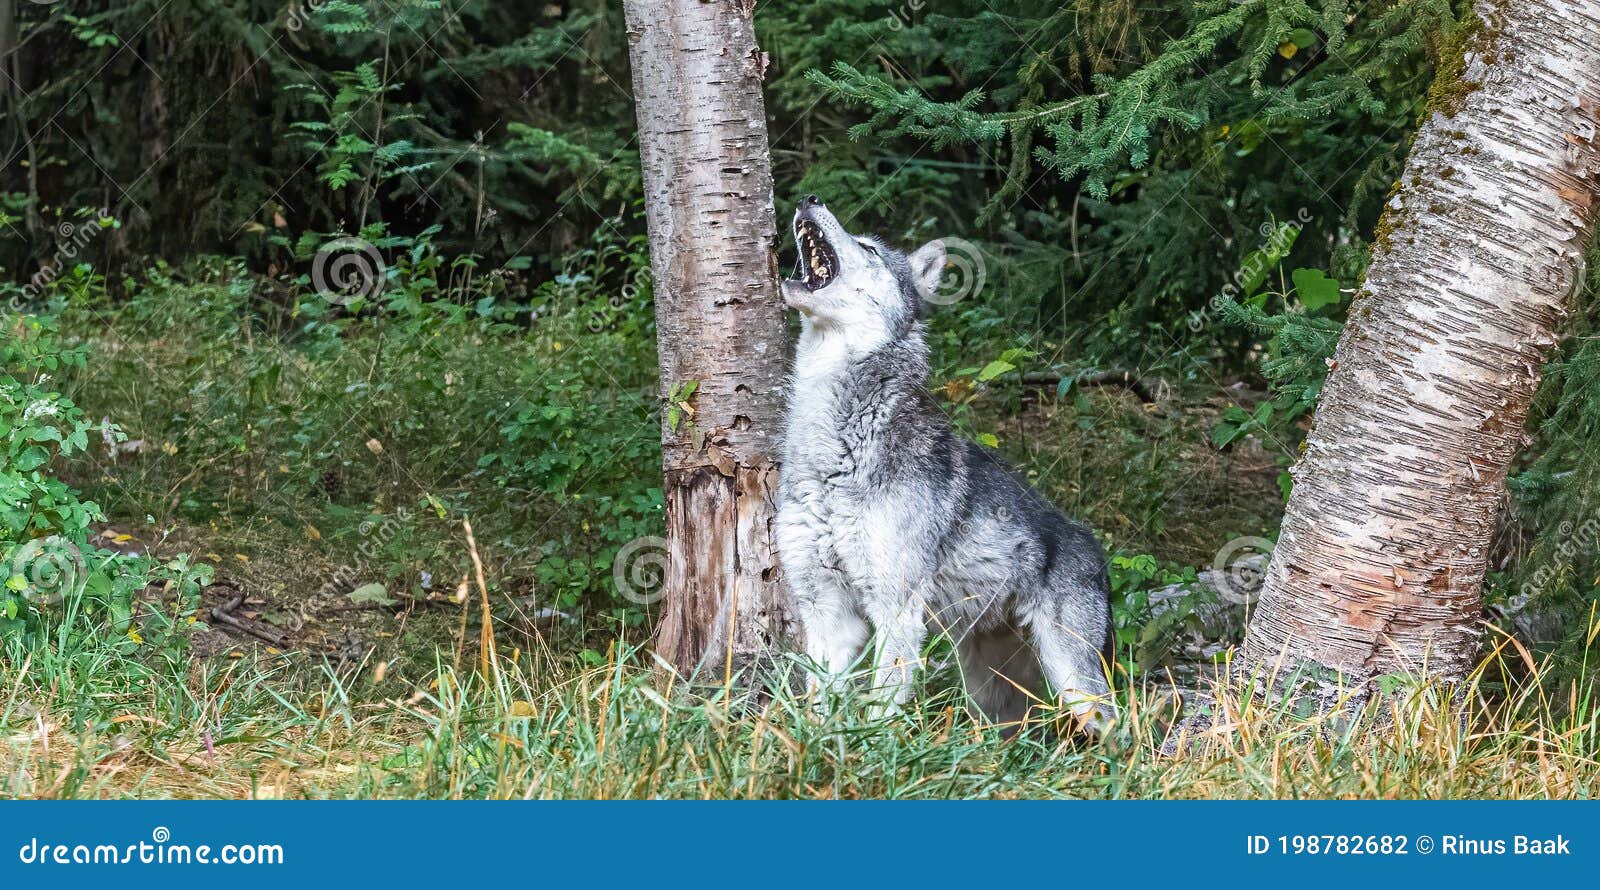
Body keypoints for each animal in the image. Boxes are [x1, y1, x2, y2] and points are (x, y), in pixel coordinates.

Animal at [775, 195, 1114, 731]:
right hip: (992, 693)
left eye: (869, 247)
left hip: (1075, 683)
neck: (836, 454)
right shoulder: (828, 613)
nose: (810, 199)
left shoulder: (896, 609)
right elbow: (818, 709)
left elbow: (879, 709)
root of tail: (1098, 551)